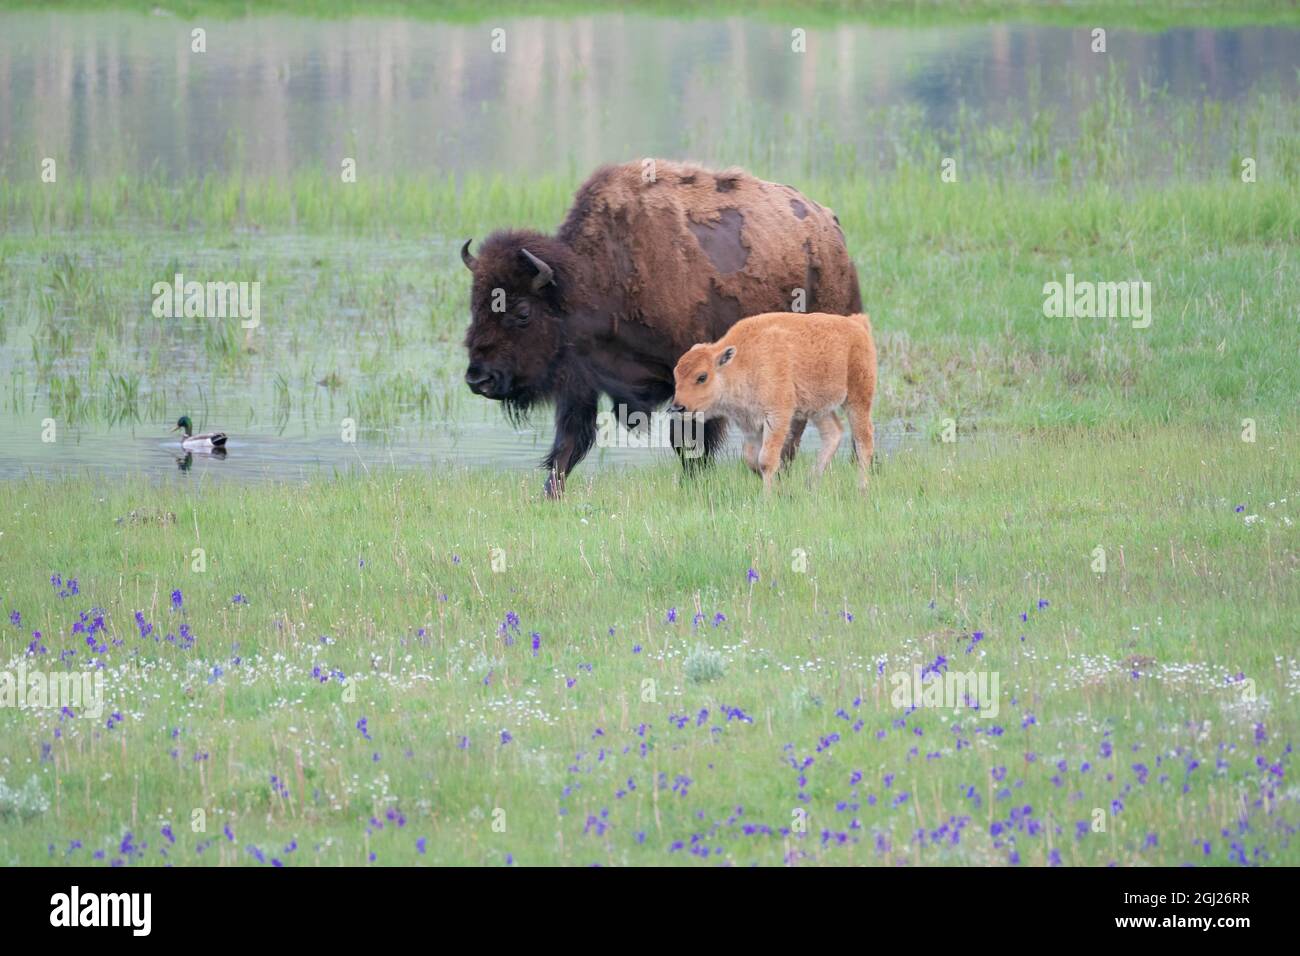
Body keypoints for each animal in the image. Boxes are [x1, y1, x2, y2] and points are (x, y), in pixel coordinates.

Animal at [669, 312, 877, 495]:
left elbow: (766, 459)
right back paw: (810, 485)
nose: (678, 407)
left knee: (863, 441)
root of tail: (857, 324)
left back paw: (862, 489)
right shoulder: (750, 424)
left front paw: (768, 498)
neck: (741, 361)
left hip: (858, 399)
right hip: (818, 409)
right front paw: (780, 490)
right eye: (676, 374)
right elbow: (752, 459)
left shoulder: (777, 416)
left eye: (702, 376)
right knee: (833, 433)